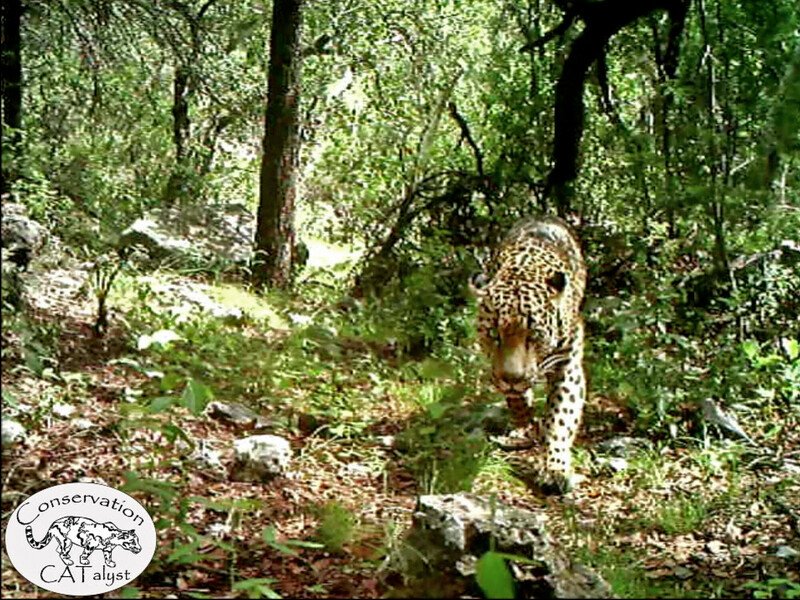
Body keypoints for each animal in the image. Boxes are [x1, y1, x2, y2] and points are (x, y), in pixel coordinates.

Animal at [474, 214, 587, 494]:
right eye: (493, 334)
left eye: (533, 335)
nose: (511, 379)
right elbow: (518, 402)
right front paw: (524, 427)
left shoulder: (568, 363)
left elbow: (561, 415)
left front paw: (555, 468)